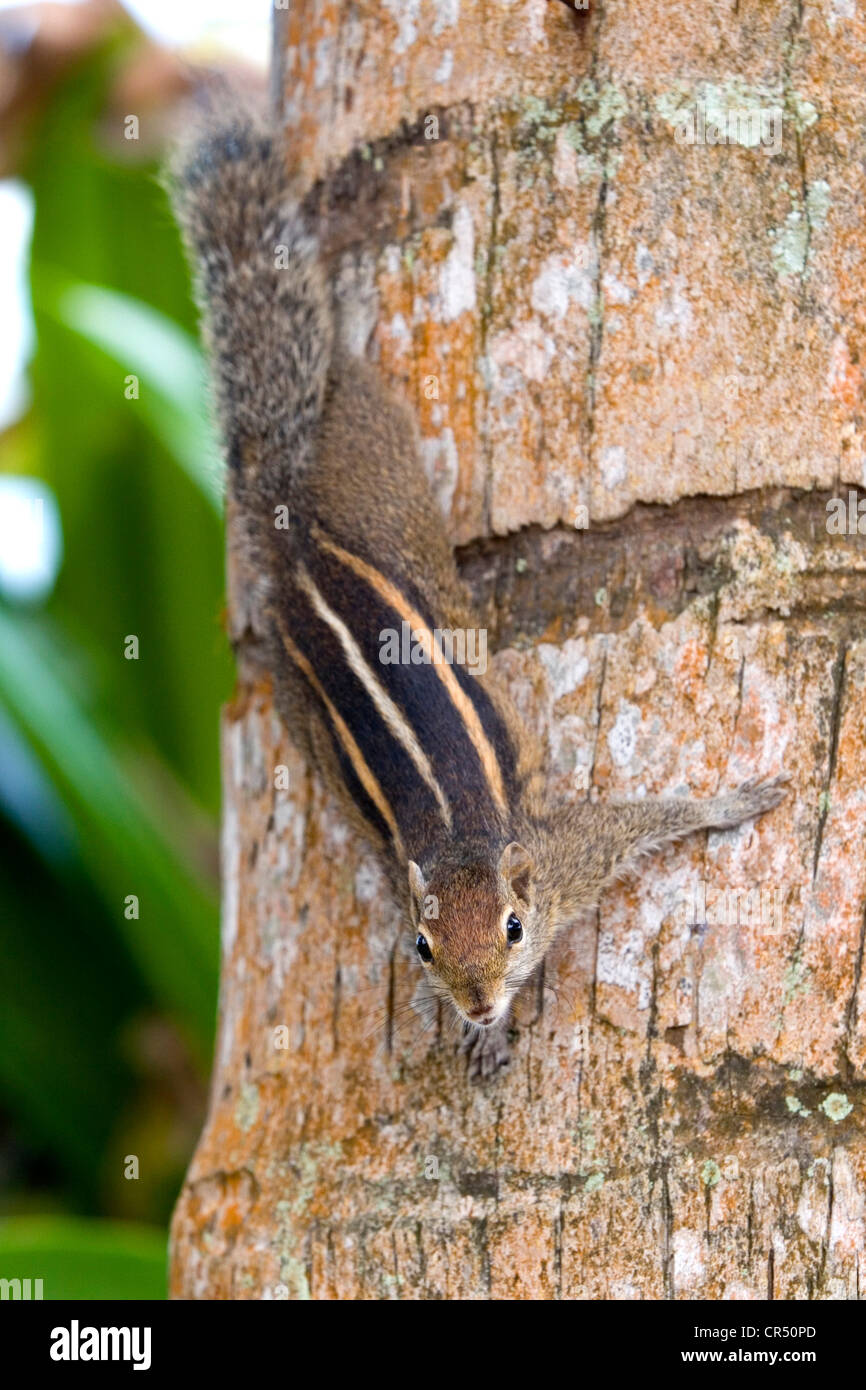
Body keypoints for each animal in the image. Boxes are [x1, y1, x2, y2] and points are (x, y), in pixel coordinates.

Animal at [168, 100, 789, 1080]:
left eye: (514, 926)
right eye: (422, 949)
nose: (481, 1000)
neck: (465, 848)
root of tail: (292, 531)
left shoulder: (574, 855)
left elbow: (652, 815)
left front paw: (734, 802)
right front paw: (481, 1040)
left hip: (378, 458)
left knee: (339, 375)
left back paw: (341, 316)